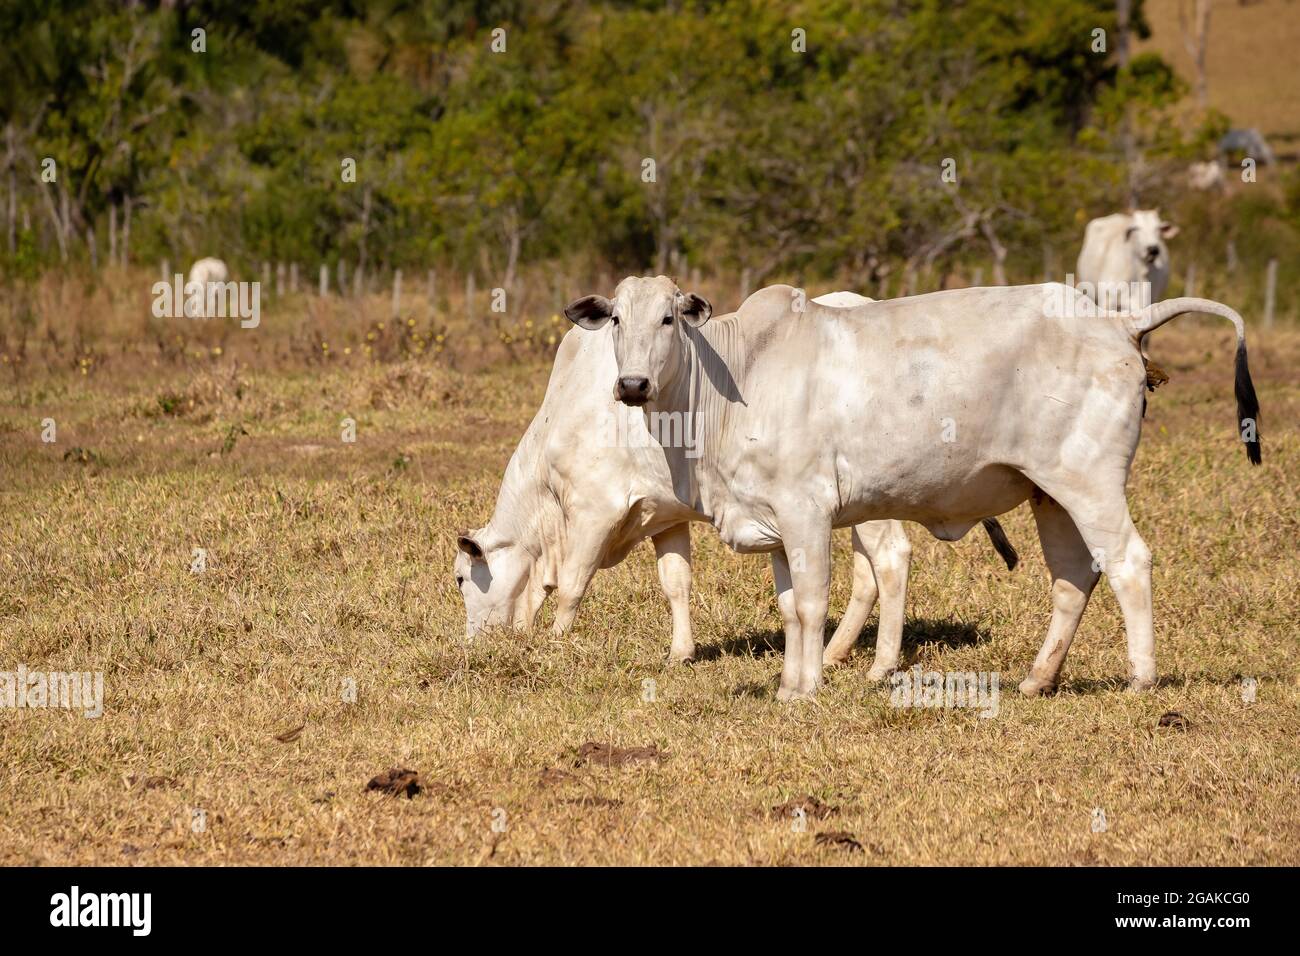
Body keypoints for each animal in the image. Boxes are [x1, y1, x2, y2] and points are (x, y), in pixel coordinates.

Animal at [454, 292, 1018, 676]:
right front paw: (680, 652)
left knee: (891, 560)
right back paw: (834, 652)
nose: (473, 645)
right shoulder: (665, 516)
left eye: (461, 578)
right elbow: (676, 583)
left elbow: (572, 584)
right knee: (866, 576)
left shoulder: (595, 509)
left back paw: (873, 663)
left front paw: (554, 644)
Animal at [563, 276, 1260, 701]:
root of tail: (1117, 324)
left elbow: (811, 603)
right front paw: (788, 685)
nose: (632, 385)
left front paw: (809, 687)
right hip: (1051, 495)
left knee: (1127, 562)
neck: (737, 378)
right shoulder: (774, 524)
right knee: (1072, 577)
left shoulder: (807, 511)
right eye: (617, 319)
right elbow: (788, 607)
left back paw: (1141, 678)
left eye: (669, 318)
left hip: (1090, 483)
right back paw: (1037, 680)